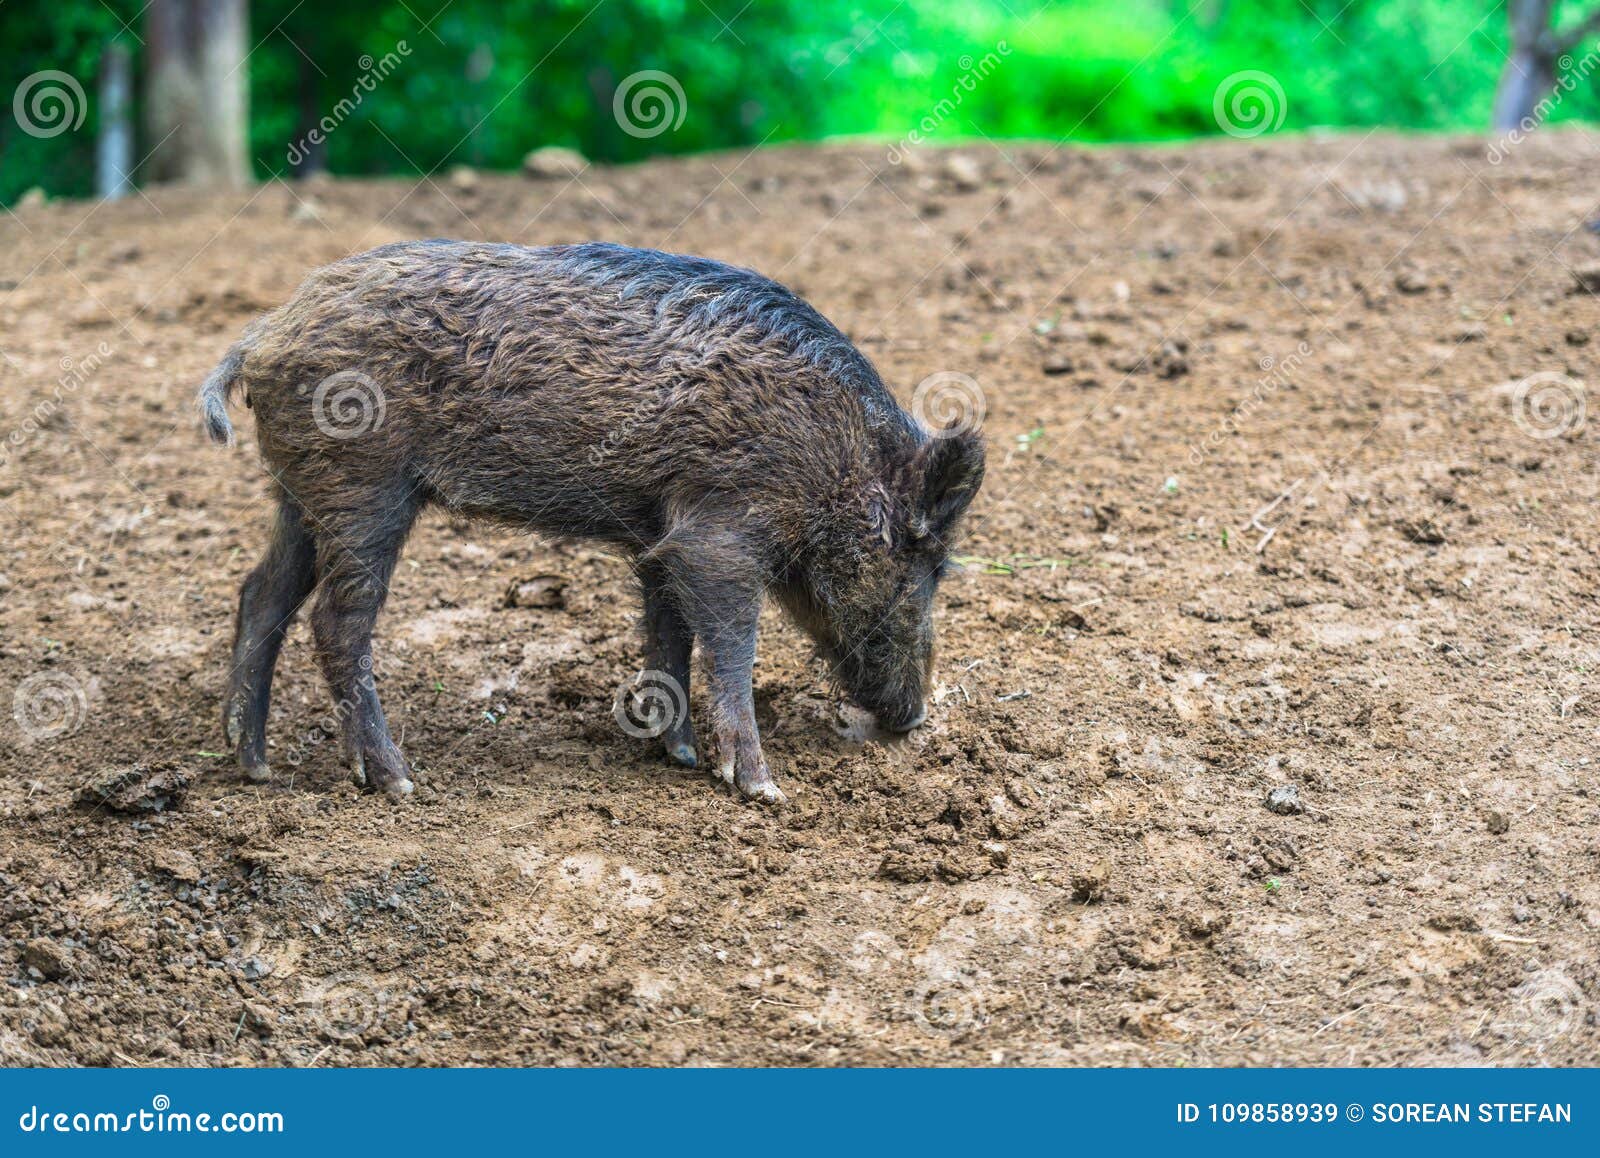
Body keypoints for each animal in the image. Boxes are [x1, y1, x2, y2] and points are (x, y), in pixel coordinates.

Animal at [198, 241, 984, 804]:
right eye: (930, 563)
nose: (914, 719)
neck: (834, 457)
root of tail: (264, 335)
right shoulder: (717, 534)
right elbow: (731, 646)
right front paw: (762, 789)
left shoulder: (658, 537)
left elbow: (669, 634)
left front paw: (680, 755)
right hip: (365, 489)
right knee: (336, 621)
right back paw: (395, 782)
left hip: (300, 493)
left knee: (260, 594)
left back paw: (255, 766)